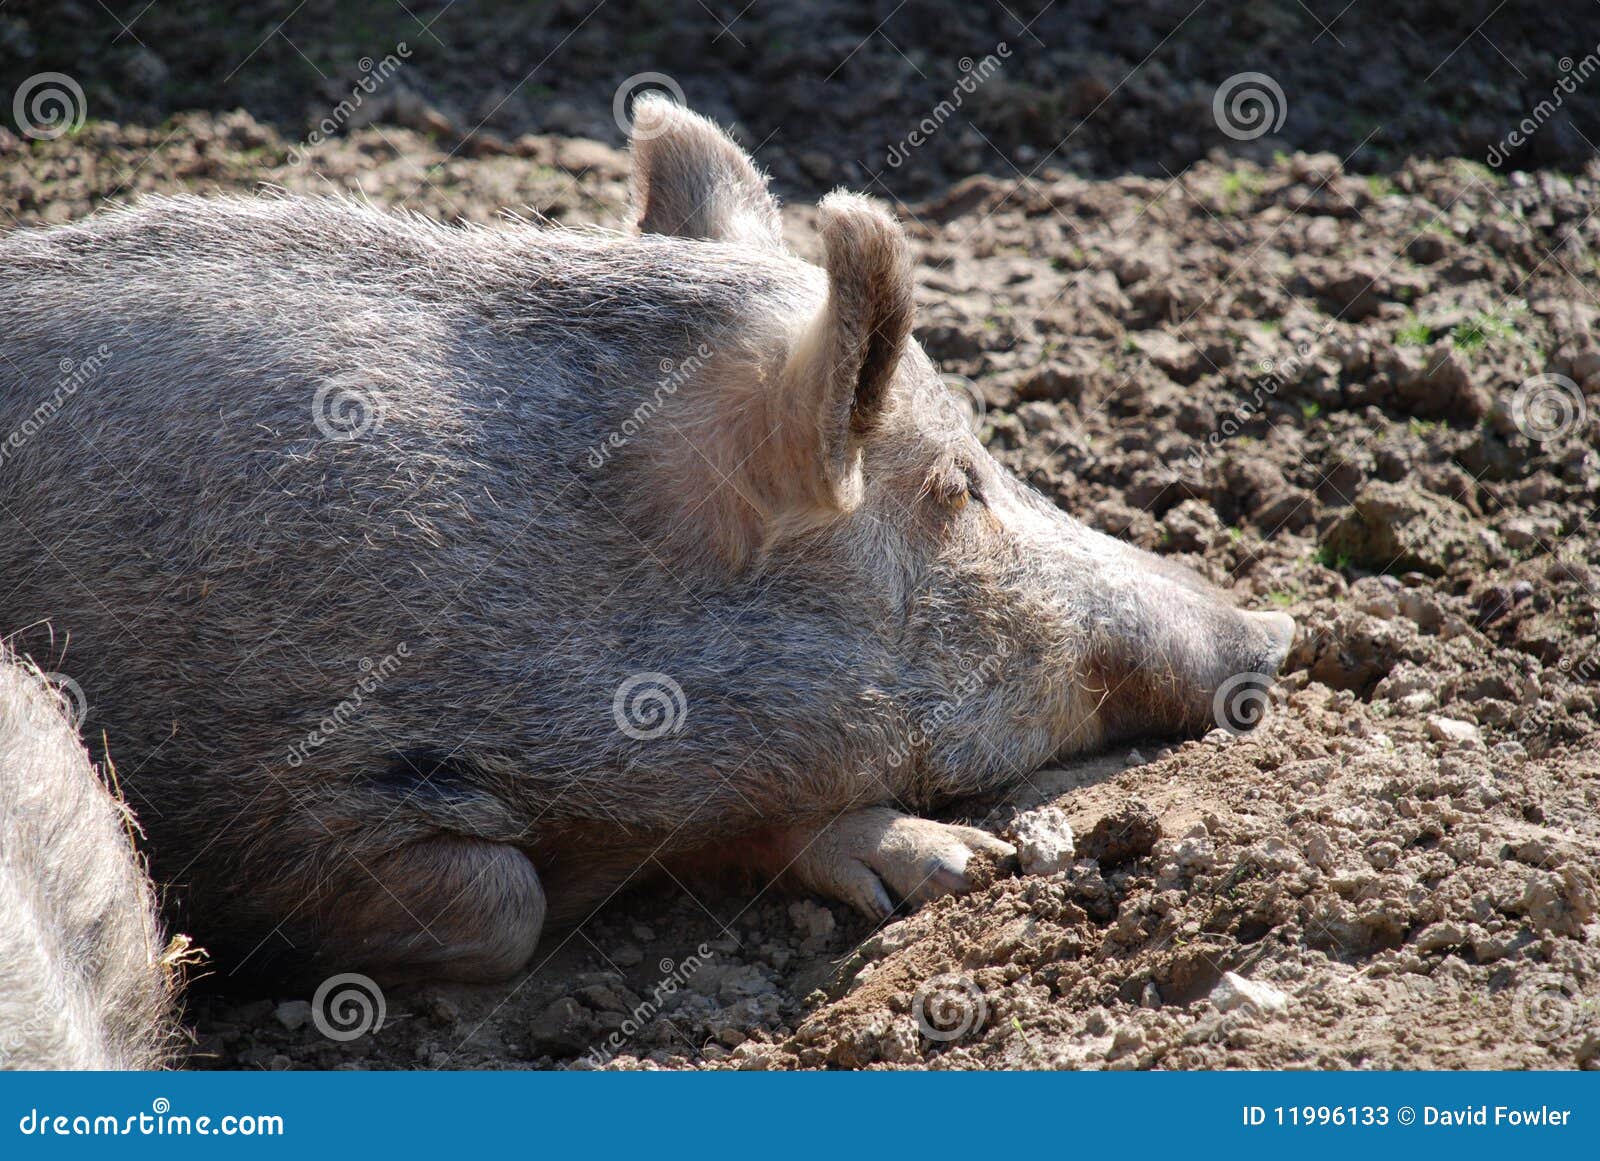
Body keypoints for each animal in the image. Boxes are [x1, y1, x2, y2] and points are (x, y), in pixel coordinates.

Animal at [0, 98, 1293, 983]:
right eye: (955, 490)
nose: (1276, 632)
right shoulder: (272, 802)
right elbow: (501, 905)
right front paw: (960, 866)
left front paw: (956, 867)